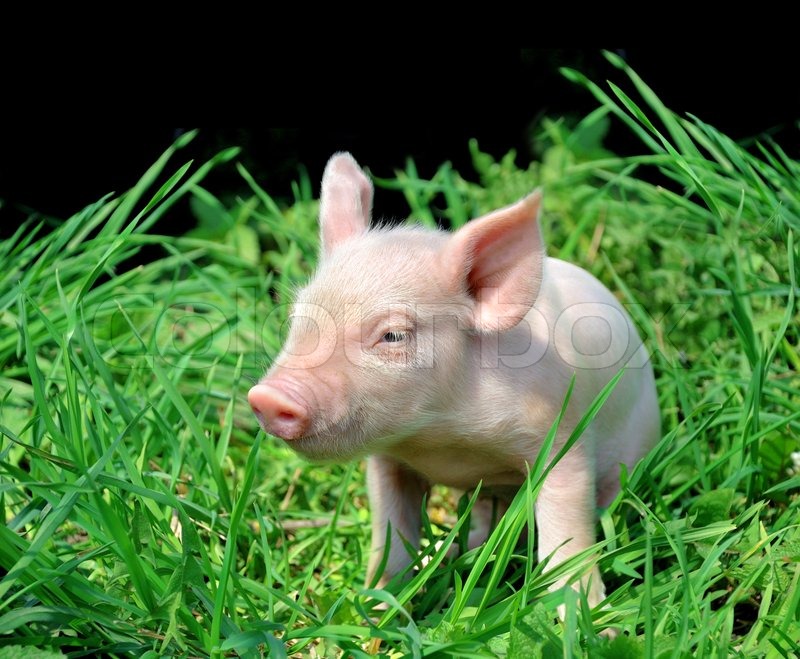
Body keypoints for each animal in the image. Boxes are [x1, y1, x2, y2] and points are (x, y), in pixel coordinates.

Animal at [248, 152, 661, 610]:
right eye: (298, 317)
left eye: (393, 335)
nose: (267, 396)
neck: (445, 439)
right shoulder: (388, 461)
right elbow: (390, 533)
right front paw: (377, 604)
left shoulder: (562, 433)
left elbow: (566, 530)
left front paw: (585, 614)